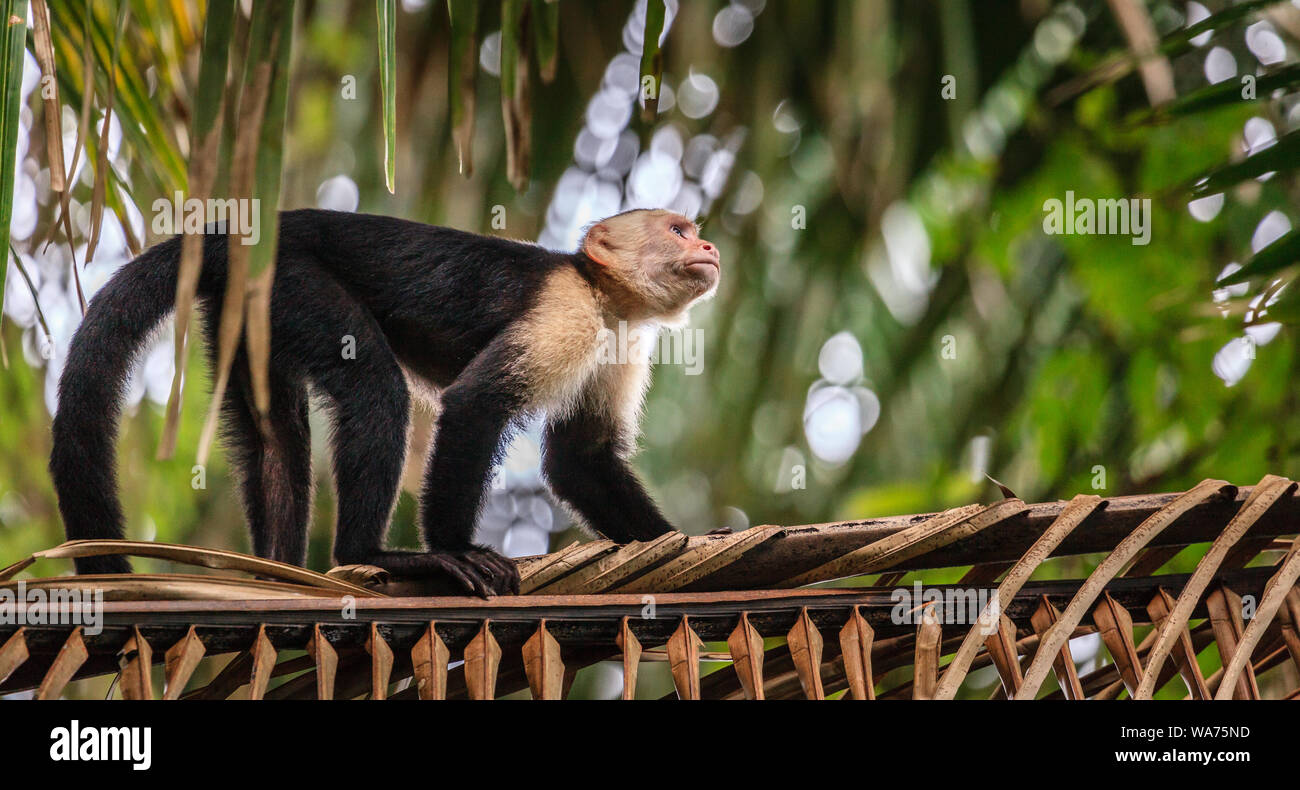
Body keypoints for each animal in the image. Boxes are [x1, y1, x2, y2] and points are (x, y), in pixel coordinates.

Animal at [48, 208, 721, 596]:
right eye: (678, 232)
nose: (710, 248)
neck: (602, 294)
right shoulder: (566, 310)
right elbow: (474, 404)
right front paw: (453, 550)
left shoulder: (623, 340)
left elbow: (580, 458)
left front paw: (684, 544)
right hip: (294, 280)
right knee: (375, 386)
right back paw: (372, 556)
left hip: (251, 304)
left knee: (274, 437)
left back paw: (279, 575)